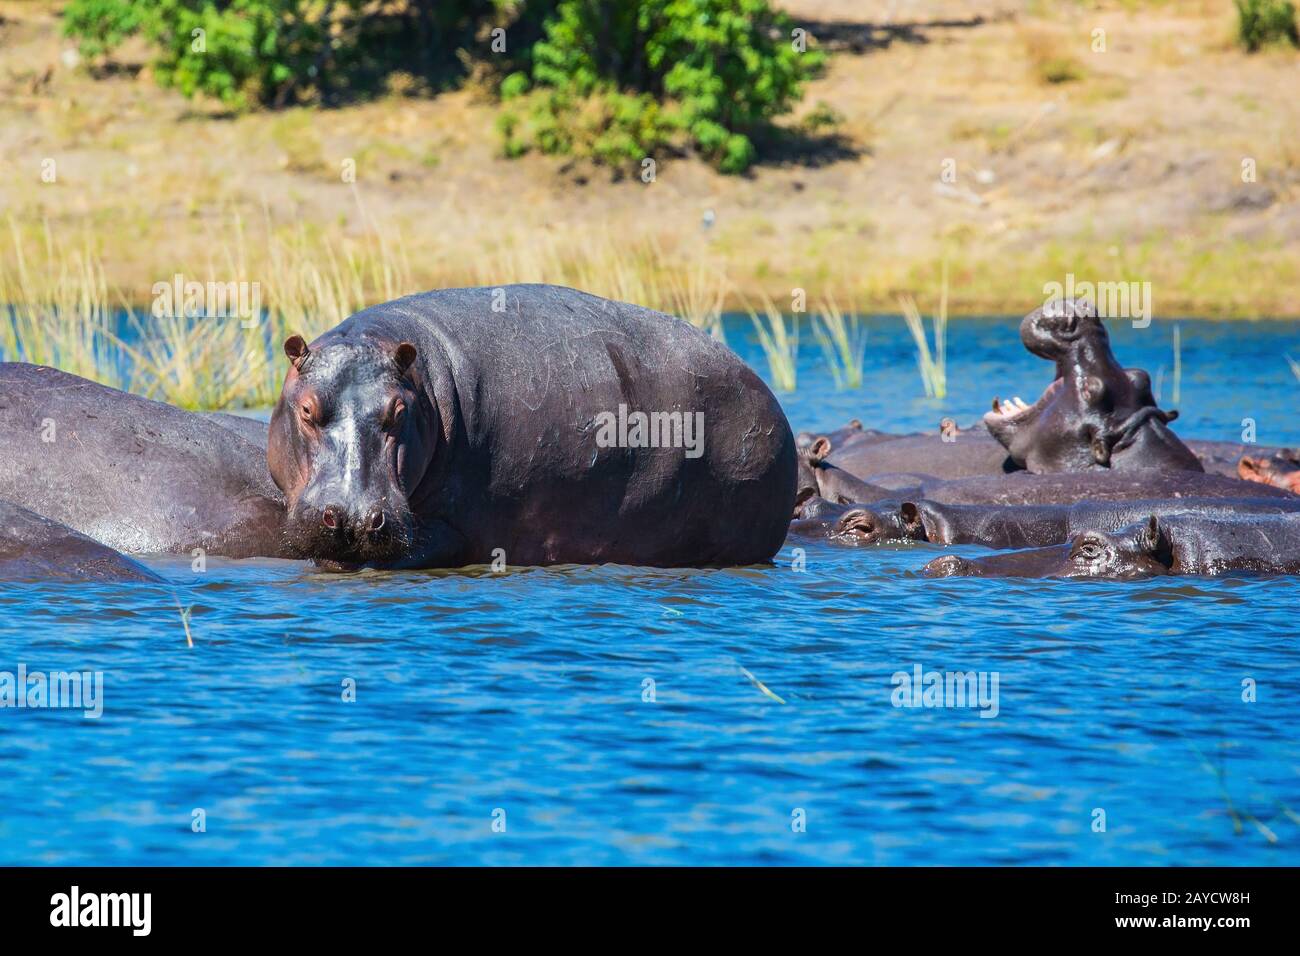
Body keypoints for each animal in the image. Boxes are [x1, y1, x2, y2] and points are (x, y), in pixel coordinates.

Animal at [268, 284, 796, 569]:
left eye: (399, 411)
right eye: (307, 410)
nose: (355, 516)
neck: (425, 387)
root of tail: (772, 399)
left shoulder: (453, 527)